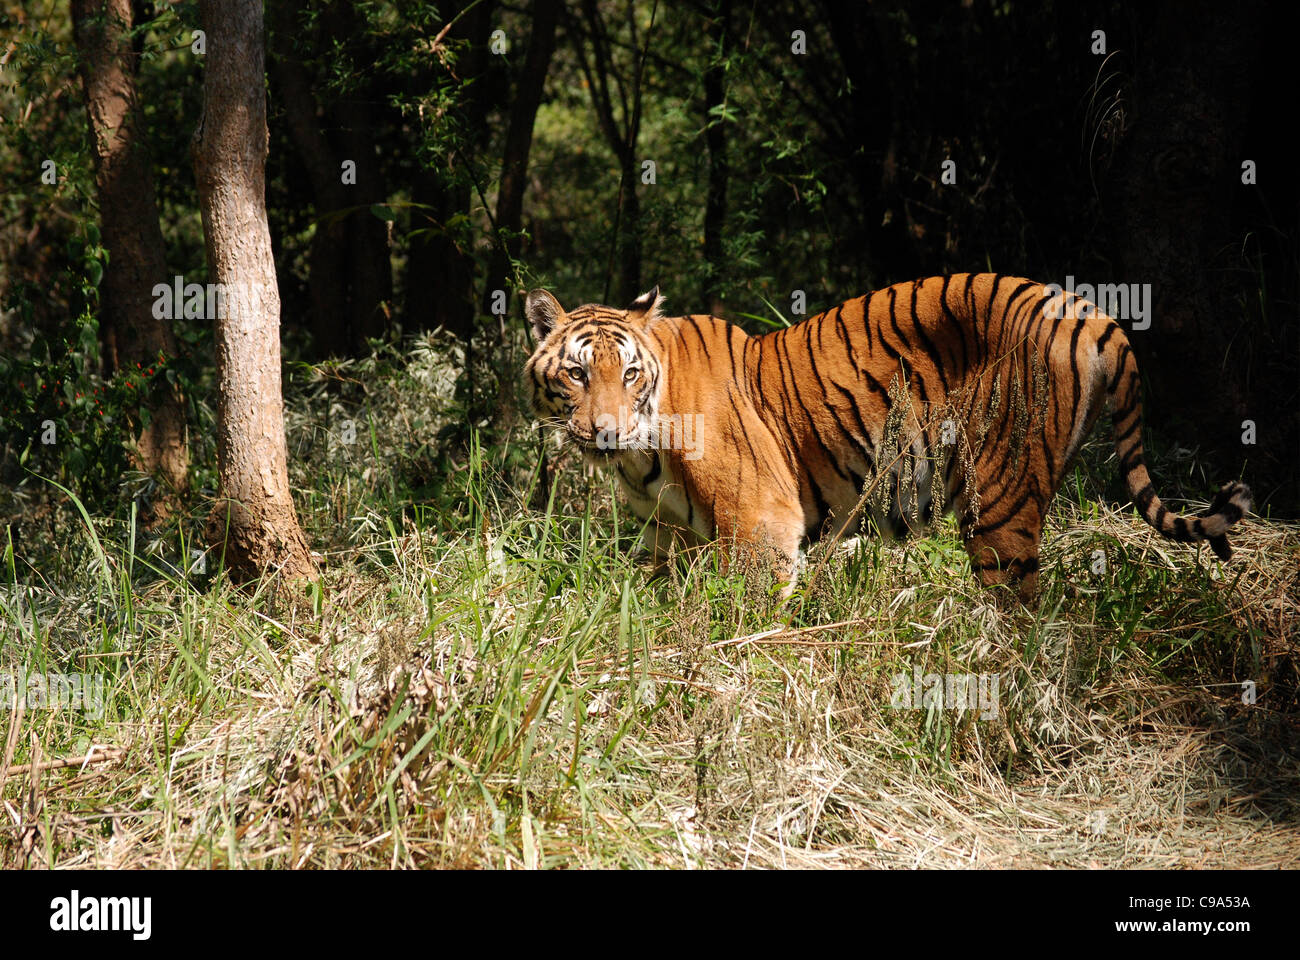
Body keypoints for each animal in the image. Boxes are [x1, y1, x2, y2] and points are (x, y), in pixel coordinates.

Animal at [523, 273, 1251, 600]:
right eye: (578, 374)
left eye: (629, 373)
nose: (606, 431)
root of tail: (1092, 310)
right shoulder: (665, 535)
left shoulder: (761, 522)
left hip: (1000, 502)